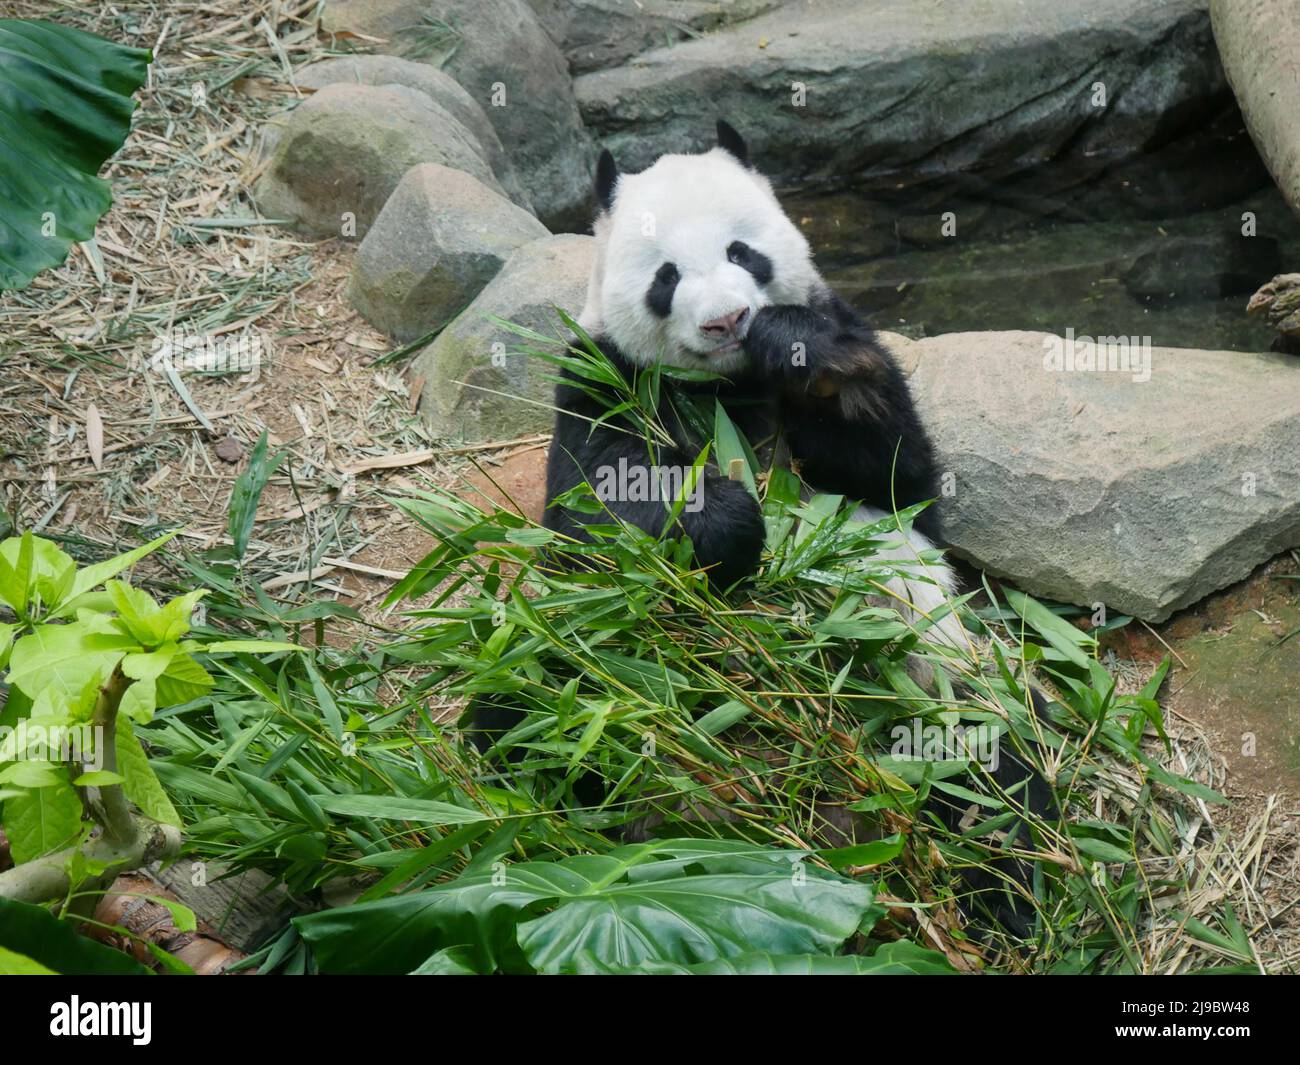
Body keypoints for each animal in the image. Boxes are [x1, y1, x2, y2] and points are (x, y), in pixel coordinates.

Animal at [545, 119, 963, 651]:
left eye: (741, 253)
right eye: (666, 277)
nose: (727, 320)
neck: (726, 382)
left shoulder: (836, 322)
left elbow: (897, 479)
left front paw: (804, 357)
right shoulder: (601, 375)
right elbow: (593, 505)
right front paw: (728, 518)